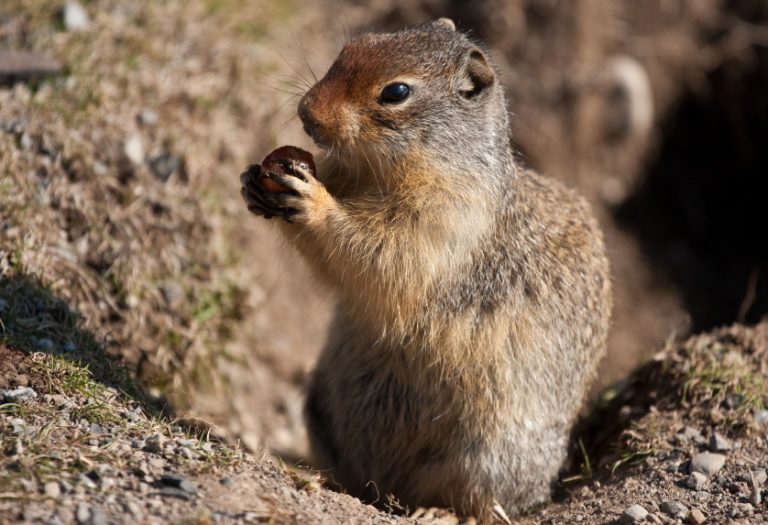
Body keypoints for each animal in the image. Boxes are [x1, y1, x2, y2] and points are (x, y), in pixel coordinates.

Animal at [240, 18, 612, 522]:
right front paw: (254, 183)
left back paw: (437, 511)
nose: (305, 112)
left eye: (396, 92)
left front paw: (311, 200)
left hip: (483, 456)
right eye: (356, 44)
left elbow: (387, 254)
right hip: (321, 409)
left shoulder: (445, 218)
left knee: (476, 502)